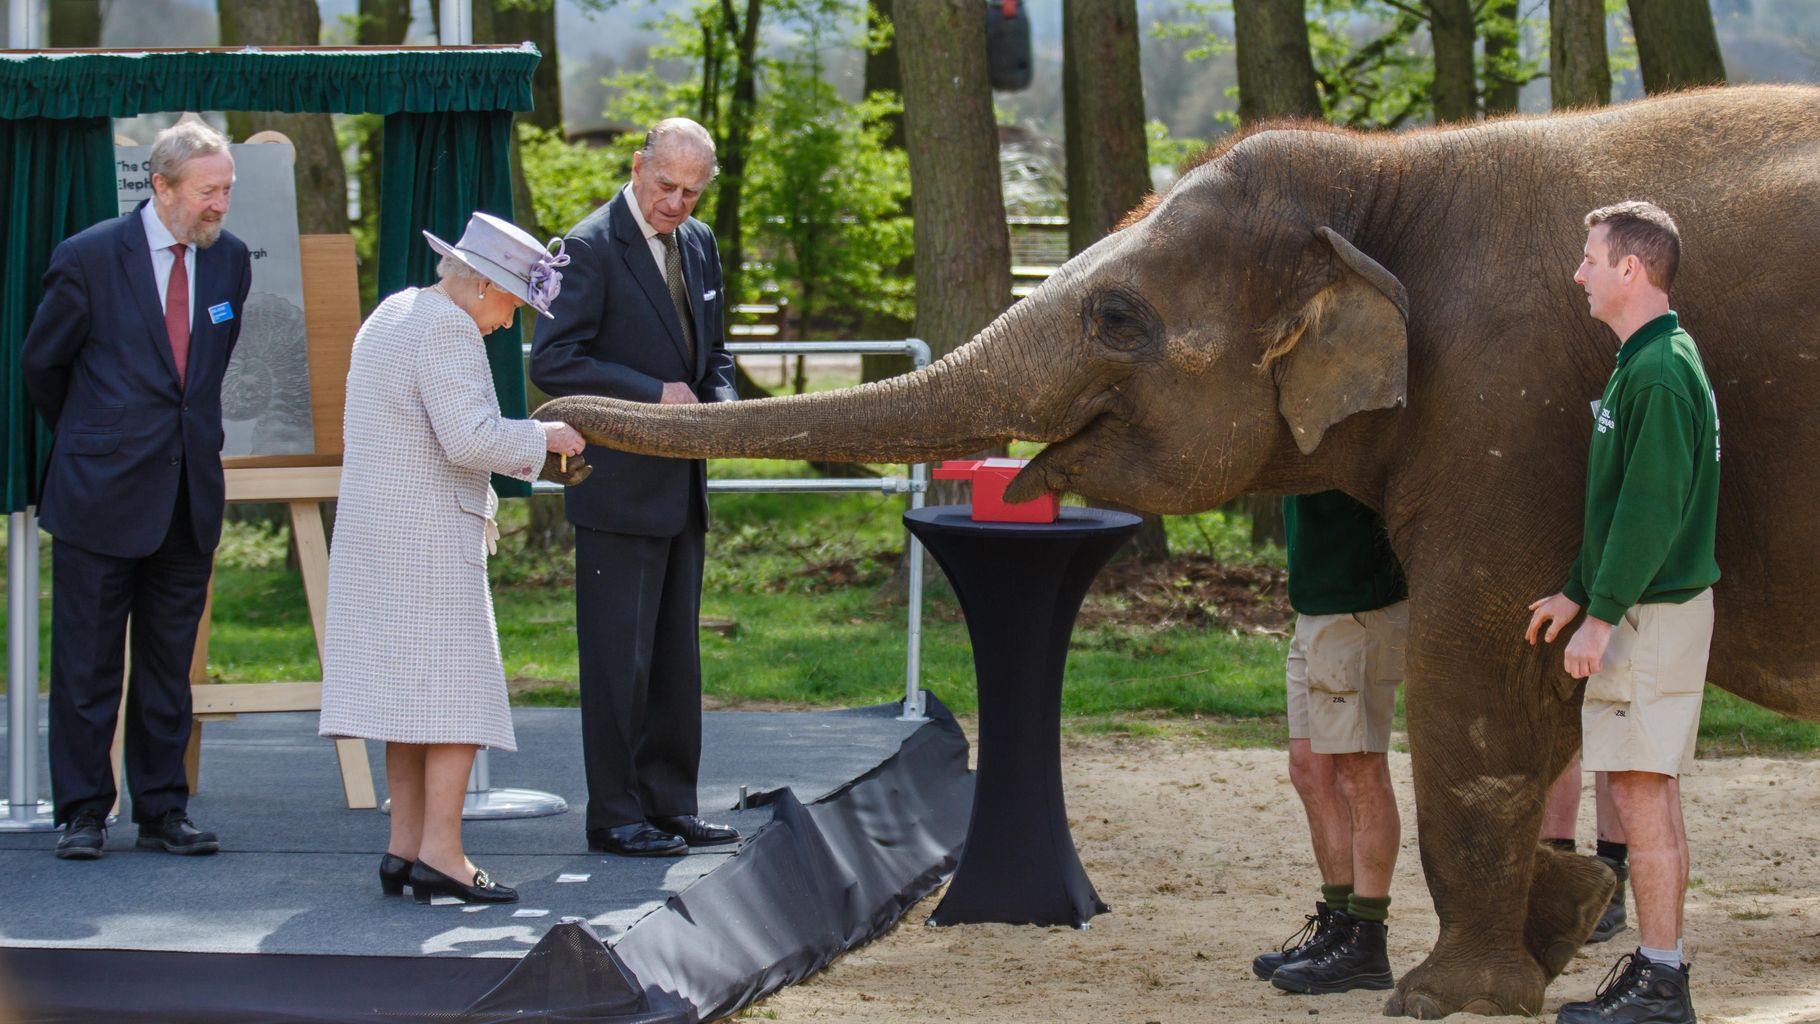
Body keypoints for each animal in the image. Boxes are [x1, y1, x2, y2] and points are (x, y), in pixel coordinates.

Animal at [535, 85, 1820, 1016]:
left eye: (1113, 316)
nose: (560, 431)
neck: (1392, 171)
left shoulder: (1512, 414)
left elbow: (1482, 676)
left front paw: (1449, 995)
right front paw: (1559, 915)